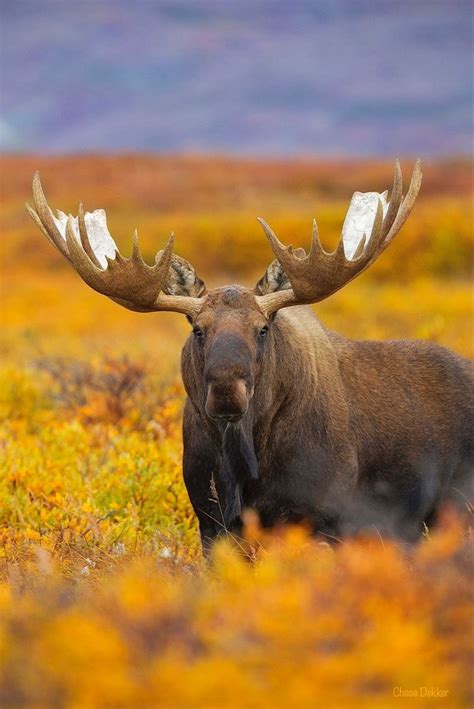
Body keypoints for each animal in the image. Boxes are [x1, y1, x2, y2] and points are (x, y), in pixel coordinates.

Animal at [26, 161, 473, 554]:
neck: (244, 458)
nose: (227, 389)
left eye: (262, 328)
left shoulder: (326, 517)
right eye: (197, 328)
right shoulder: (212, 521)